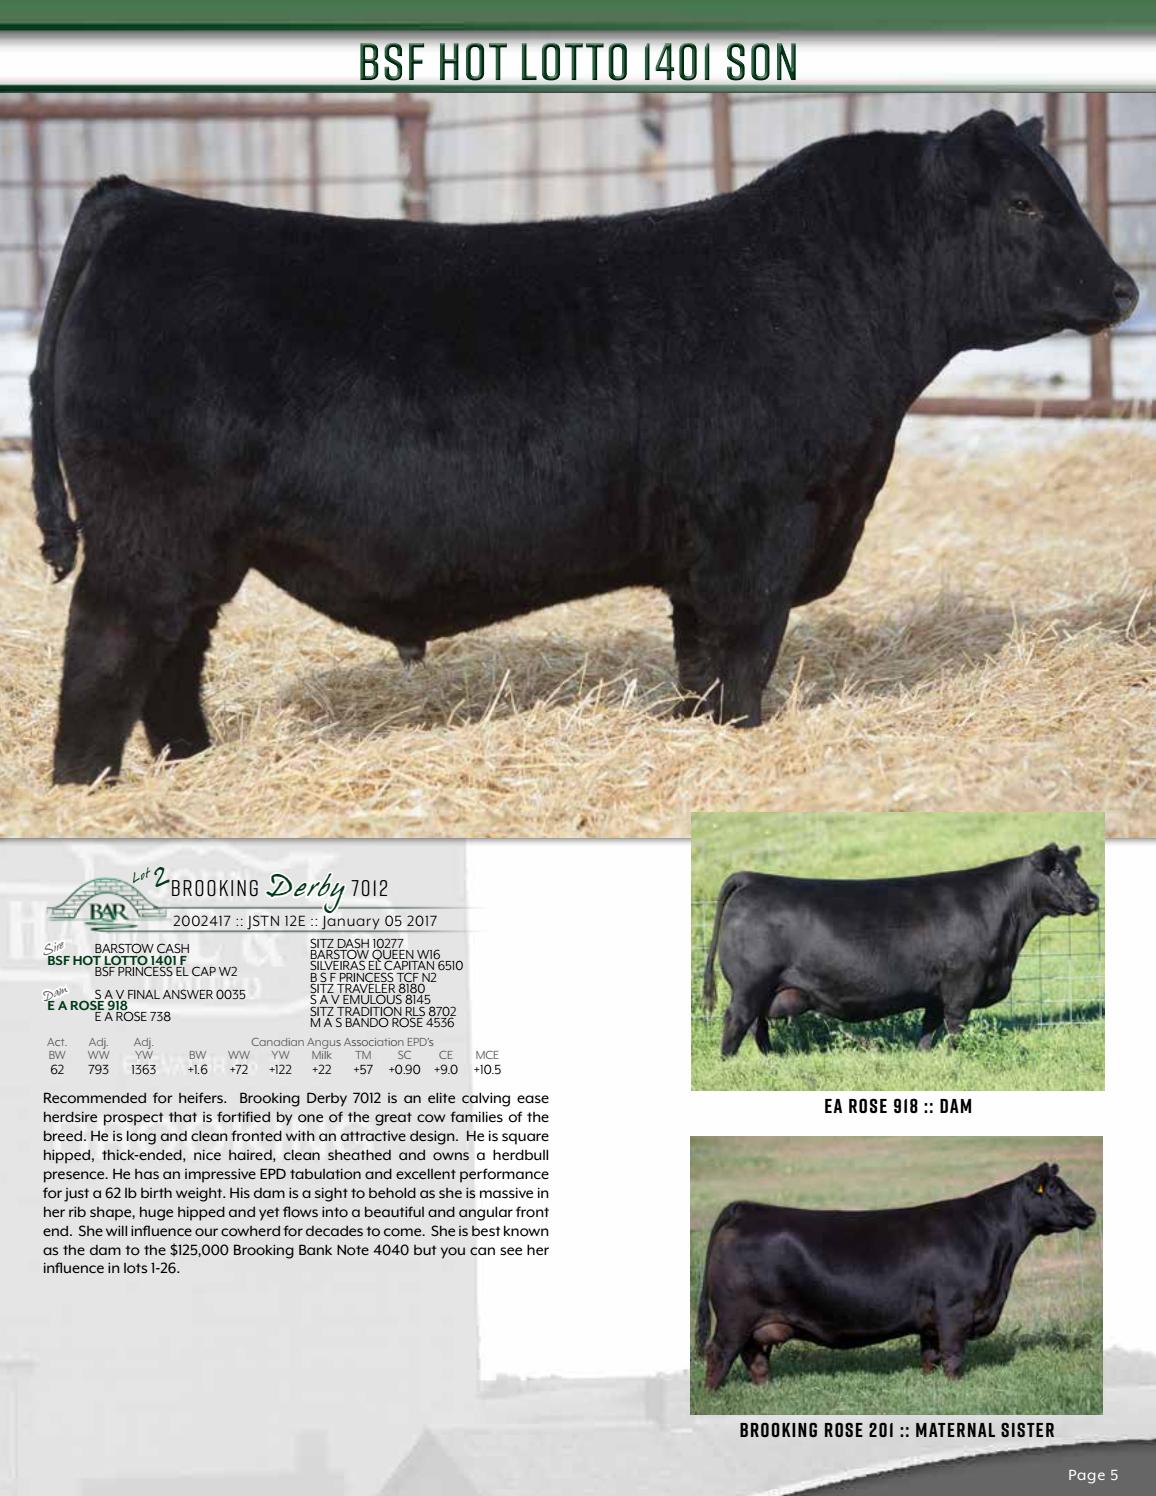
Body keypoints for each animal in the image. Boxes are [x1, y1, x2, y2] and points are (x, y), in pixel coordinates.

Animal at [31, 111, 1137, 784]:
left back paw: (191, 760)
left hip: (202, 546)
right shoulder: (758, 529)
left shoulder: (706, 552)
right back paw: (89, 784)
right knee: (109, 647)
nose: (1126, 289)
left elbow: (698, 661)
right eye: (1026, 203)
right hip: (146, 531)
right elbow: (742, 658)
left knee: (175, 652)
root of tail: (144, 200)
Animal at [695, 1161, 1096, 1390]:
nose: (1091, 1211)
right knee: (718, 1354)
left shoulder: (931, 1321)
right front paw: (956, 1387)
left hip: (755, 1322)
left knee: (754, 1357)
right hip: (734, 1315)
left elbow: (930, 1355)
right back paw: (712, 1396)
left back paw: (765, 1390)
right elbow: (953, 1355)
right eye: (1055, 1189)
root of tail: (746, 1208)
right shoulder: (955, 1310)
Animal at [702, 843, 1098, 1057]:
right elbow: (956, 1027)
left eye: (1075, 867)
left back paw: (773, 1059)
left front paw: (923, 1057)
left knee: (758, 1025)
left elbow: (928, 1028)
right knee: (737, 1021)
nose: (1093, 898)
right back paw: (729, 1064)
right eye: (1057, 871)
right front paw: (956, 1058)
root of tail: (753, 877)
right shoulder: (962, 983)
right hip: (750, 983)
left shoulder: (936, 991)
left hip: (766, 988)